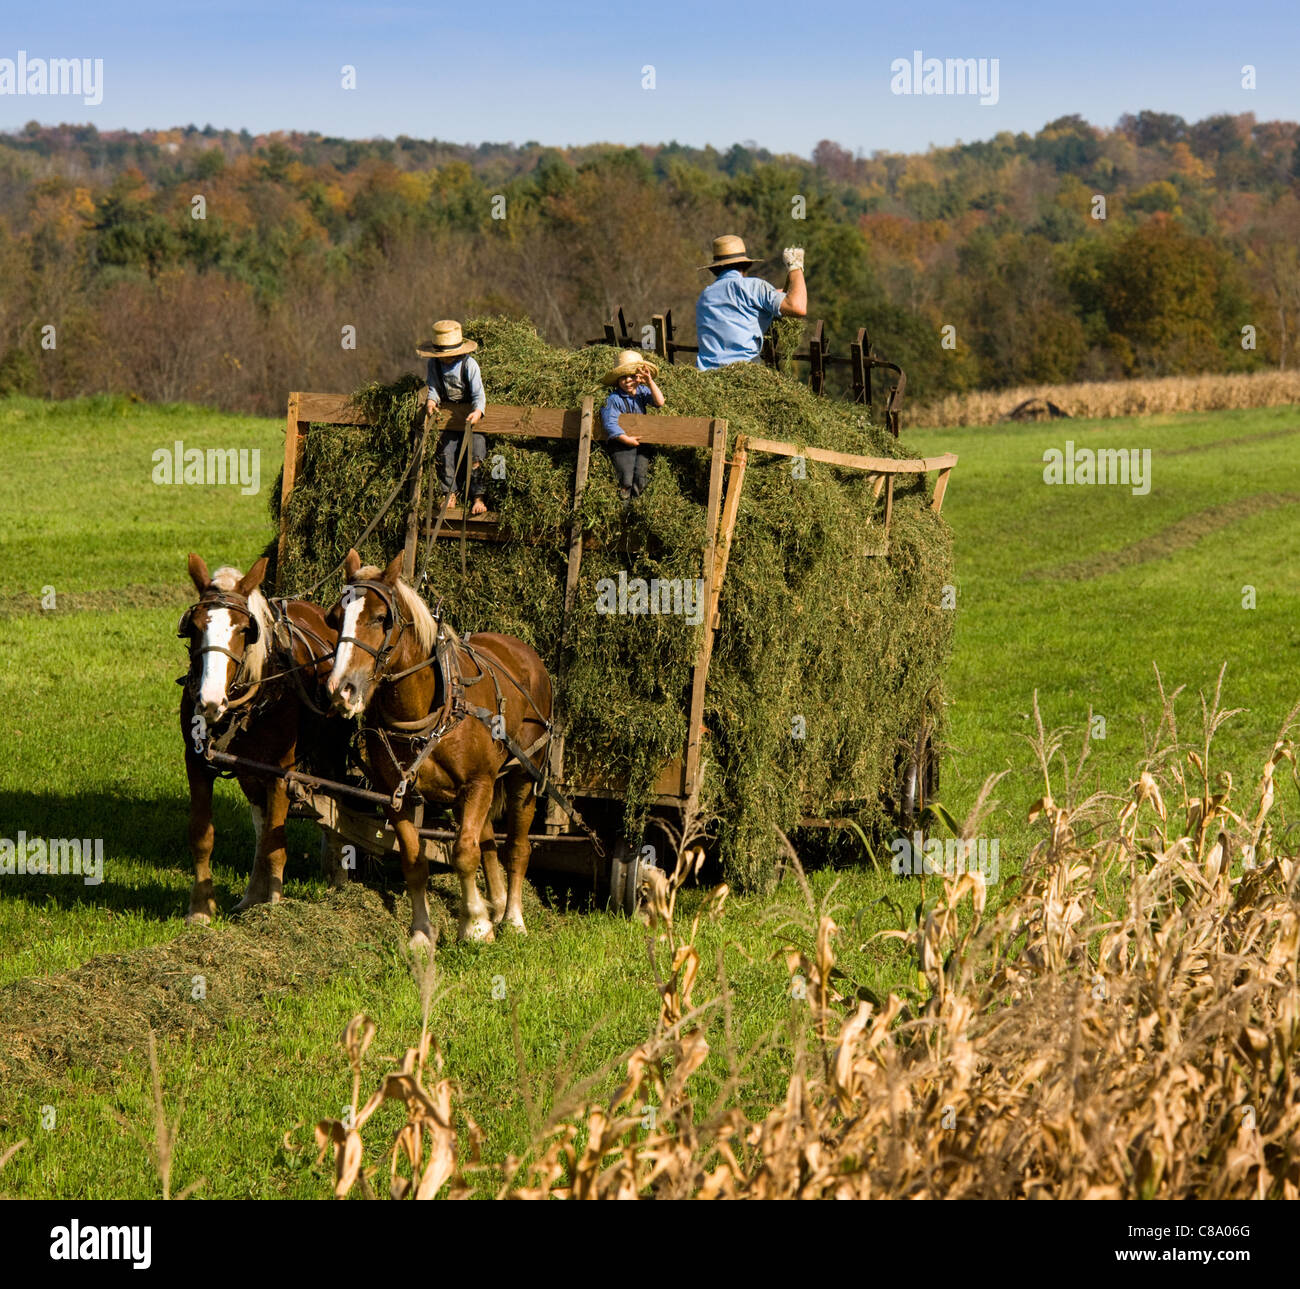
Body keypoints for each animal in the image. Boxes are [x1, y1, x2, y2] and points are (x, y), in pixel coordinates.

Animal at [178, 552, 345, 921]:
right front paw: (201, 908)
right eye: (194, 627)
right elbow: (202, 835)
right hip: (249, 771)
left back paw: (339, 884)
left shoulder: (280, 773)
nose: (209, 701)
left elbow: (275, 843)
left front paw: (274, 909)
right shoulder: (197, 762)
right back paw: (252, 895)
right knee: (260, 822)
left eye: (244, 630)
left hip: (328, 755)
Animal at [324, 549, 553, 944]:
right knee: (487, 841)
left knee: (515, 847)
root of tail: (524, 650)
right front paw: (422, 933)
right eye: (336, 618)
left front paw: (475, 926)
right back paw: (496, 902)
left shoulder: (477, 782)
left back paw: (512, 918)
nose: (342, 689)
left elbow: (463, 853)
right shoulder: (397, 792)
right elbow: (415, 859)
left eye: (381, 618)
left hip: (524, 774)